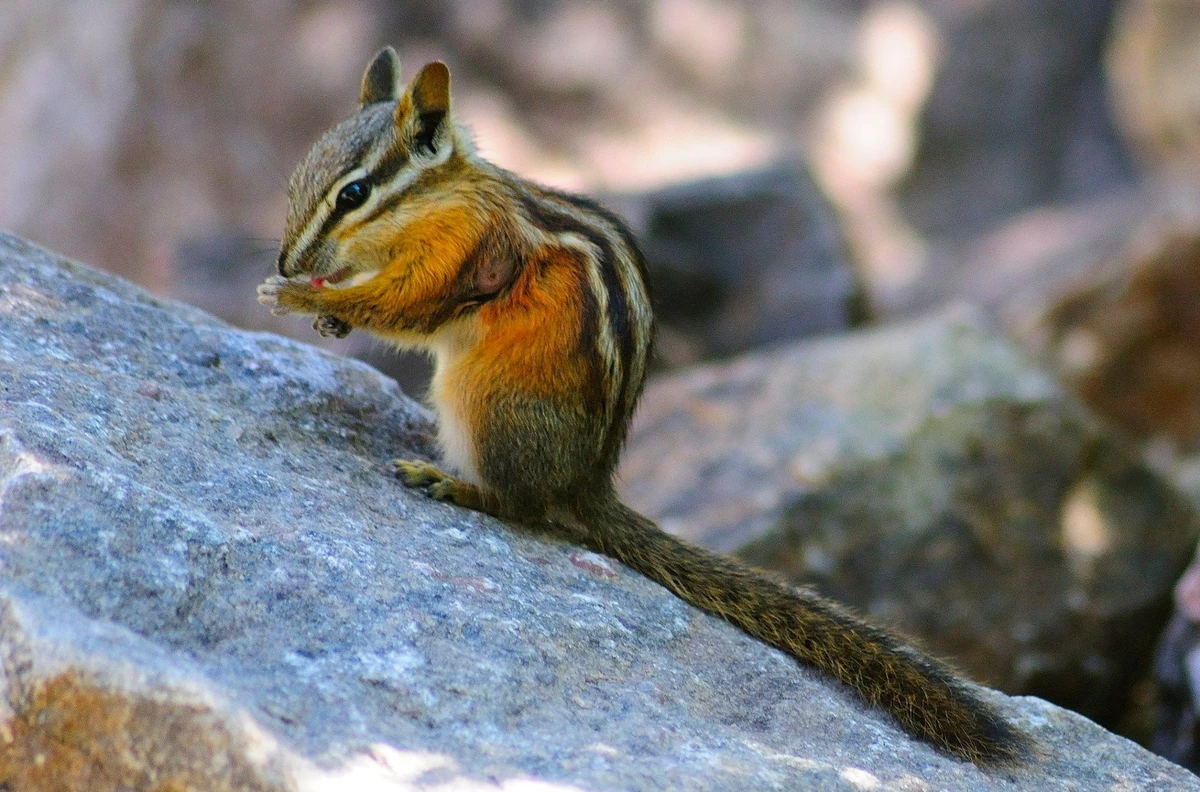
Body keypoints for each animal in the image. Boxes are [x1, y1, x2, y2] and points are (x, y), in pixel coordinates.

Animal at [257, 47, 1029, 766]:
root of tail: (589, 481)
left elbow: (407, 310)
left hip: (486, 401)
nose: (289, 261)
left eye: (354, 193)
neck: (442, 201)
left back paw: (451, 482)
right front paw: (319, 308)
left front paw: (301, 297)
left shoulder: (468, 257)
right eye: (296, 179)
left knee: (523, 508)